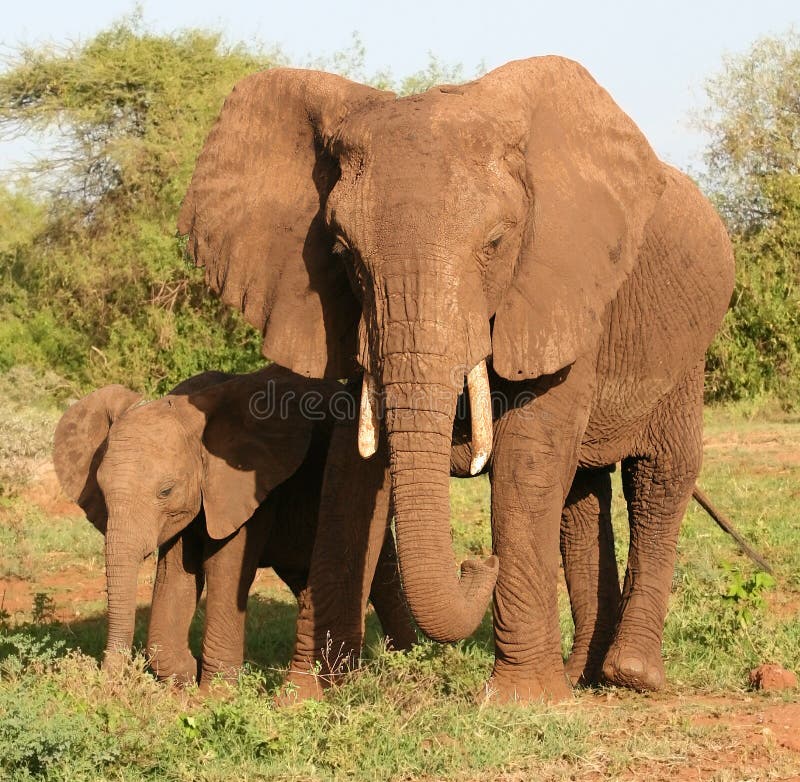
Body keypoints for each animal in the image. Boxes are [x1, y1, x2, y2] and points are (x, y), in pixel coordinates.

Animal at [53, 366, 417, 686]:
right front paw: (186, 677)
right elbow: (176, 574)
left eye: (165, 491)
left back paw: (401, 662)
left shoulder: (247, 487)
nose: (111, 682)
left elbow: (223, 566)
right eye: (101, 489)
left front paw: (212, 692)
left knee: (380, 573)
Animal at [178, 56, 735, 701]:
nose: (476, 564)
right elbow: (351, 467)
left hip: (686, 347)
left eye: (495, 244)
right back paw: (583, 676)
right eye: (342, 251)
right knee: (580, 495)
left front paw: (523, 701)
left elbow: (528, 458)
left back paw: (631, 677)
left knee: (659, 476)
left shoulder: (563, 290)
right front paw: (308, 694)